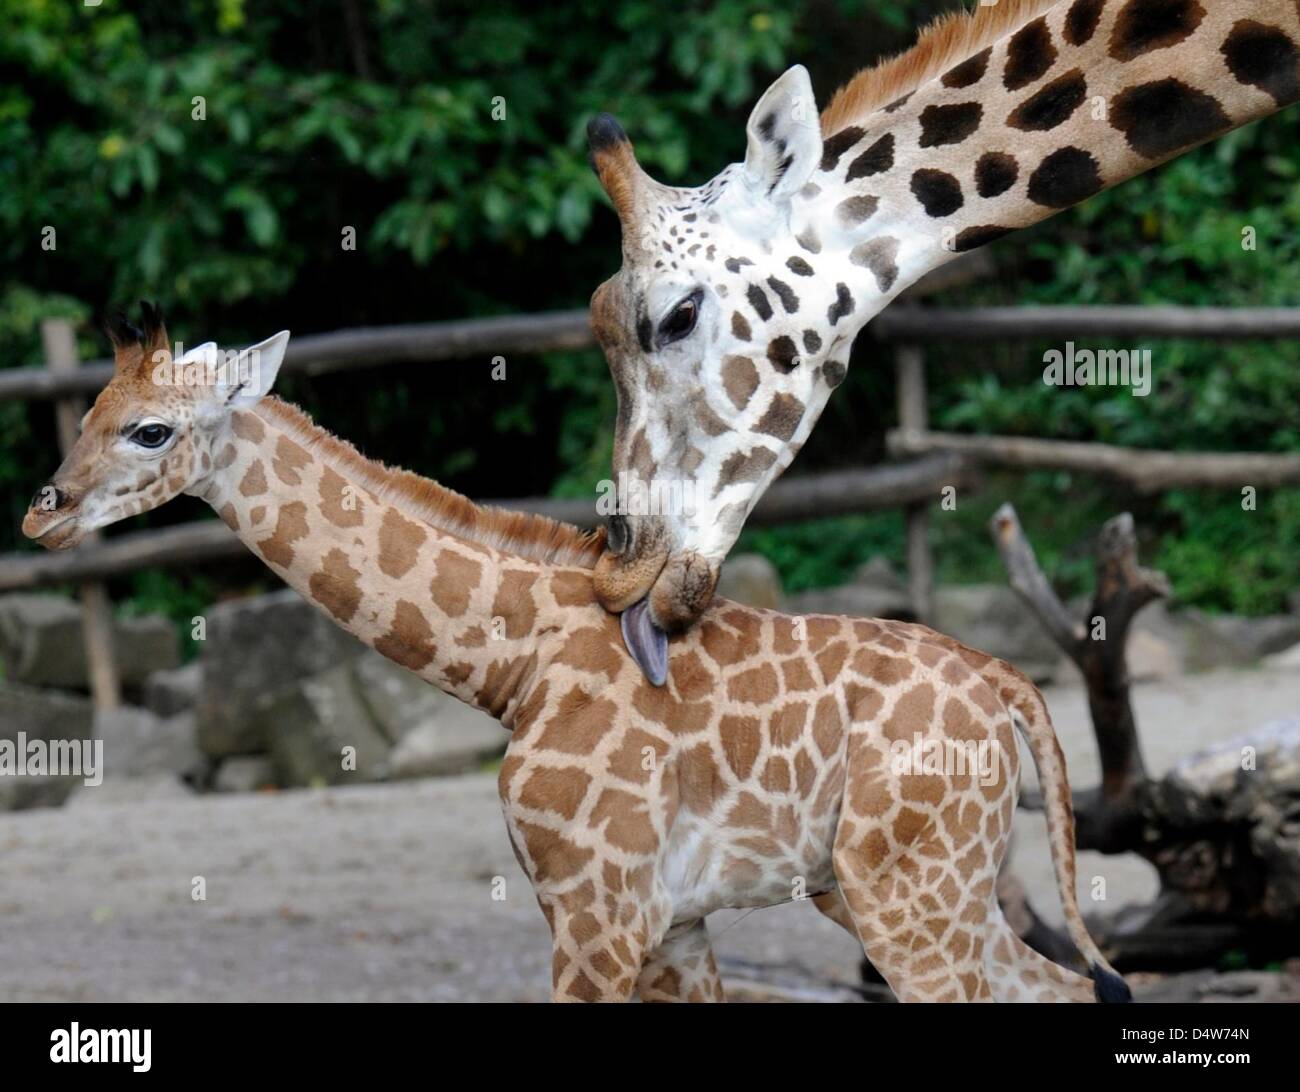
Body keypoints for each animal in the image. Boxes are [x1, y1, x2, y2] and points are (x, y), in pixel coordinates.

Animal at [22, 307, 1128, 1002]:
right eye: (86, 415)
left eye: (150, 430)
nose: (44, 512)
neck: (517, 660)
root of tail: (1006, 685)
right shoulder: (669, 921)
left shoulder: (597, 909)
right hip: (896, 887)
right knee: (1068, 986)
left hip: (908, 891)